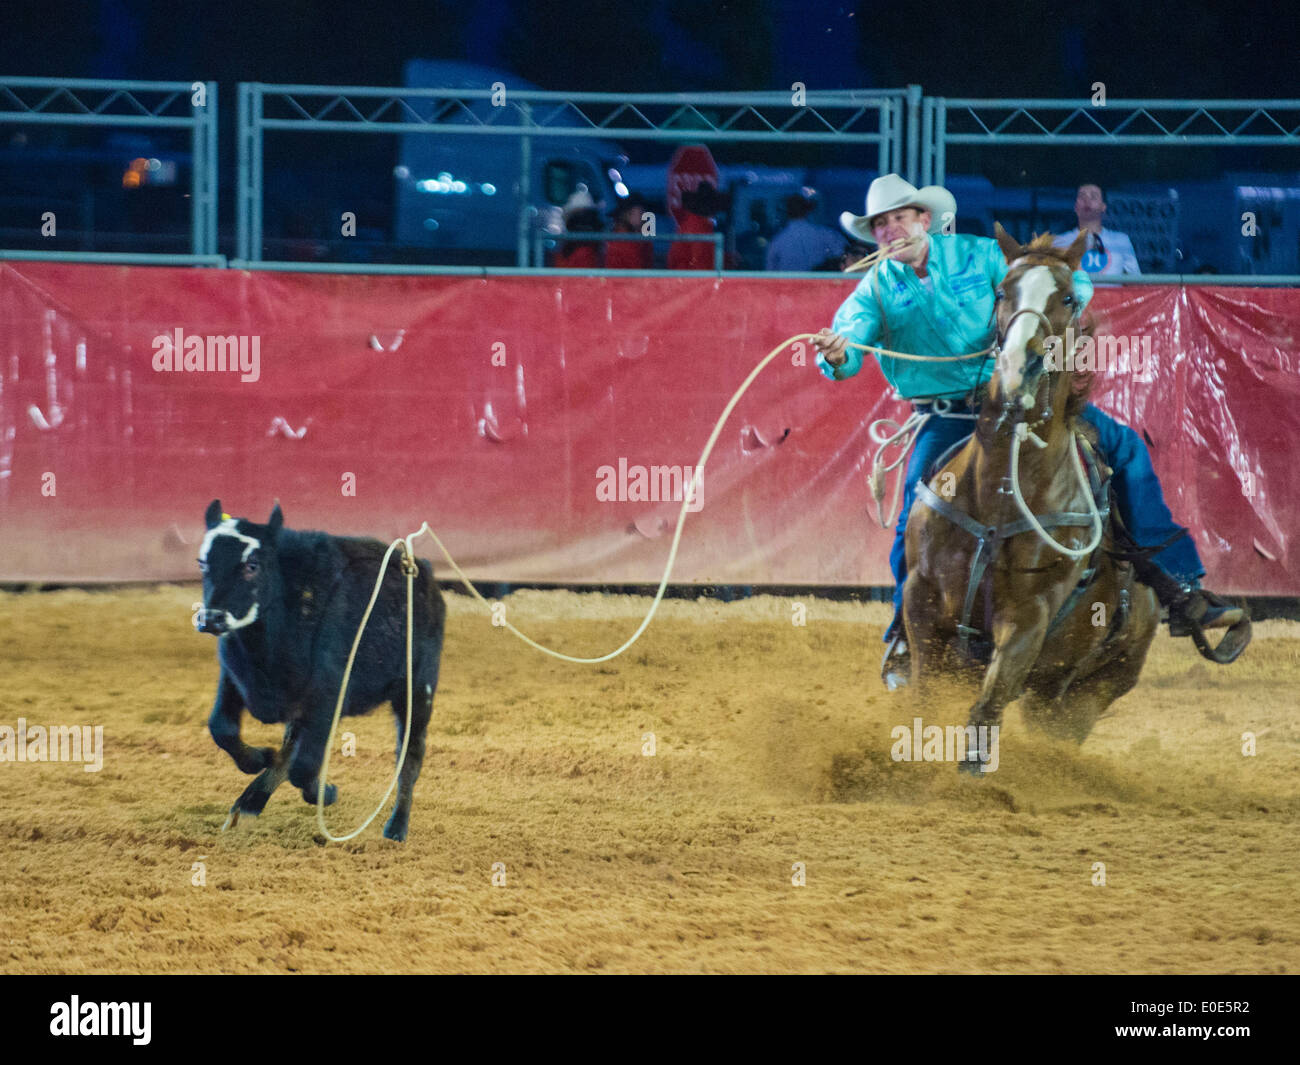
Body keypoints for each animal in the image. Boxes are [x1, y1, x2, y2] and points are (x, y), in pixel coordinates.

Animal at [194, 500, 445, 841]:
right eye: (203, 563)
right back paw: (249, 804)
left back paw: (396, 826)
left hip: (419, 691)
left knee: (410, 756)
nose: (212, 619)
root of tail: (421, 571)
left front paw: (325, 791)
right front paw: (260, 759)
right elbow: (223, 728)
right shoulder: (234, 678)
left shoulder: (329, 695)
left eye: (252, 565)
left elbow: (304, 767)